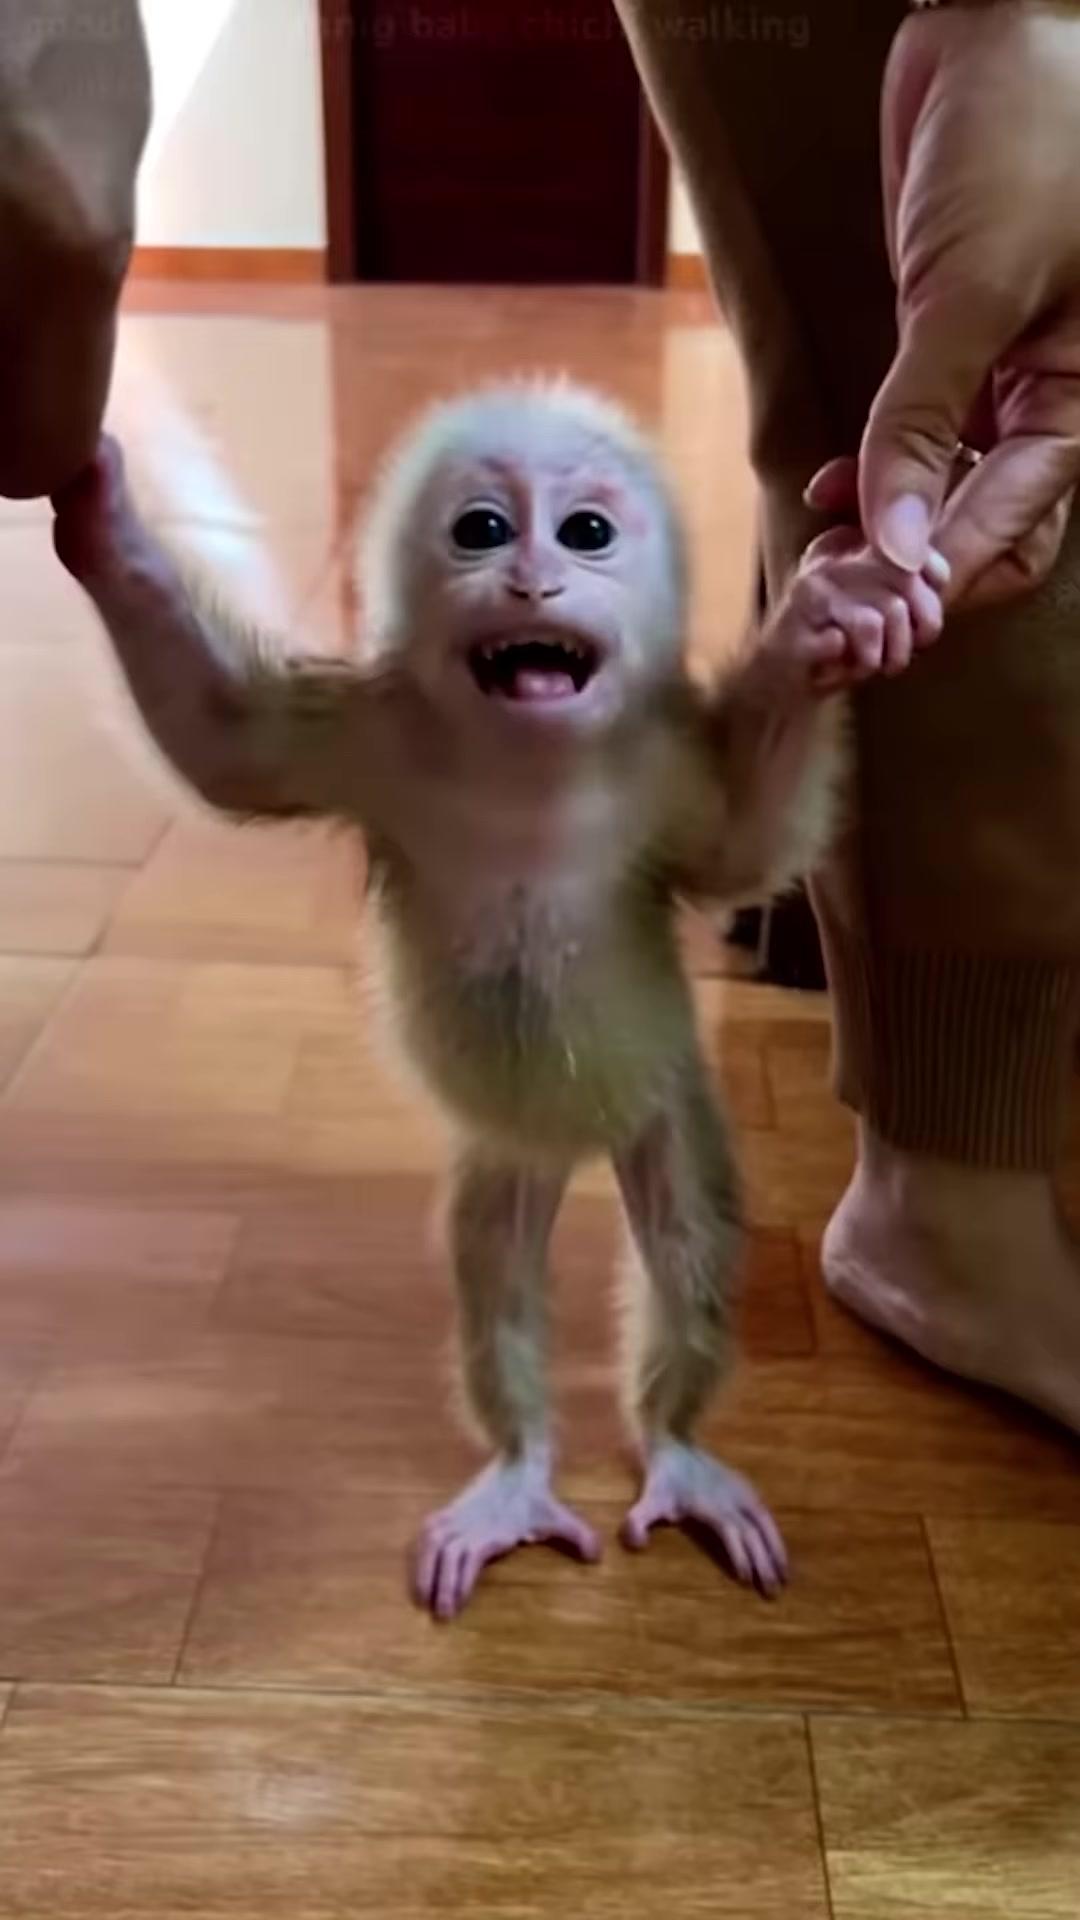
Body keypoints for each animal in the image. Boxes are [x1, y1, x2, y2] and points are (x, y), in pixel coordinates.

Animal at [50, 379, 947, 1621]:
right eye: (481, 530)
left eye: (585, 533)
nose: (531, 580)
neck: (527, 765)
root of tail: (572, 1133)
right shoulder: (374, 737)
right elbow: (222, 740)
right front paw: (98, 522)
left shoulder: (666, 771)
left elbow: (749, 850)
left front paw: (831, 624)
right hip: (510, 1145)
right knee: (494, 1255)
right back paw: (521, 1463)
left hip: (659, 1099)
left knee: (687, 1233)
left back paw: (674, 1443)